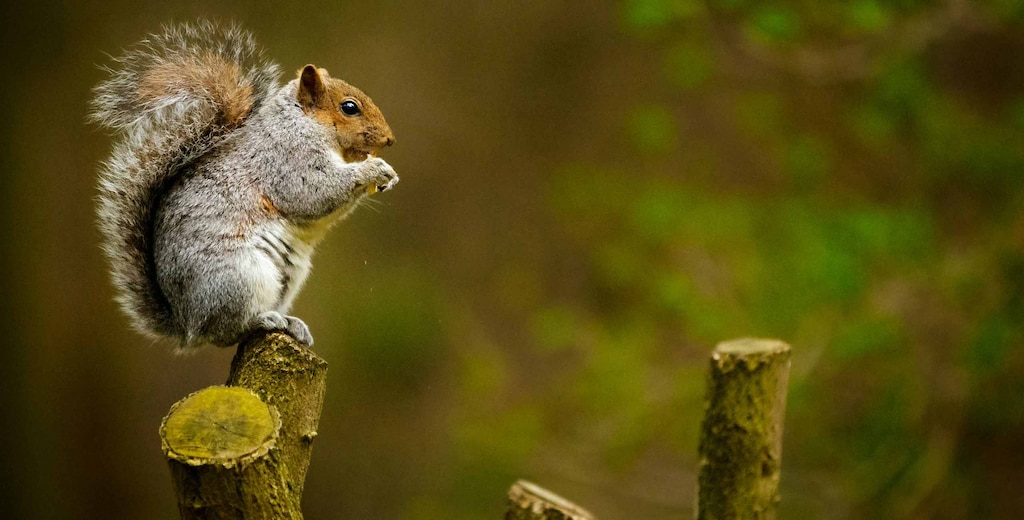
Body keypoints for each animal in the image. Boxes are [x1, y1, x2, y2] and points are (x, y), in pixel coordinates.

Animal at [90, 20, 398, 350]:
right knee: (225, 332)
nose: (390, 139)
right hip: (239, 276)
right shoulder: (286, 161)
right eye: (349, 107)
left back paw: (291, 323)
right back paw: (262, 320)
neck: (303, 122)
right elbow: (314, 192)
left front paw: (387, 176)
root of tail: (186, 323)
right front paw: (373, 169)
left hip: (288, 277)